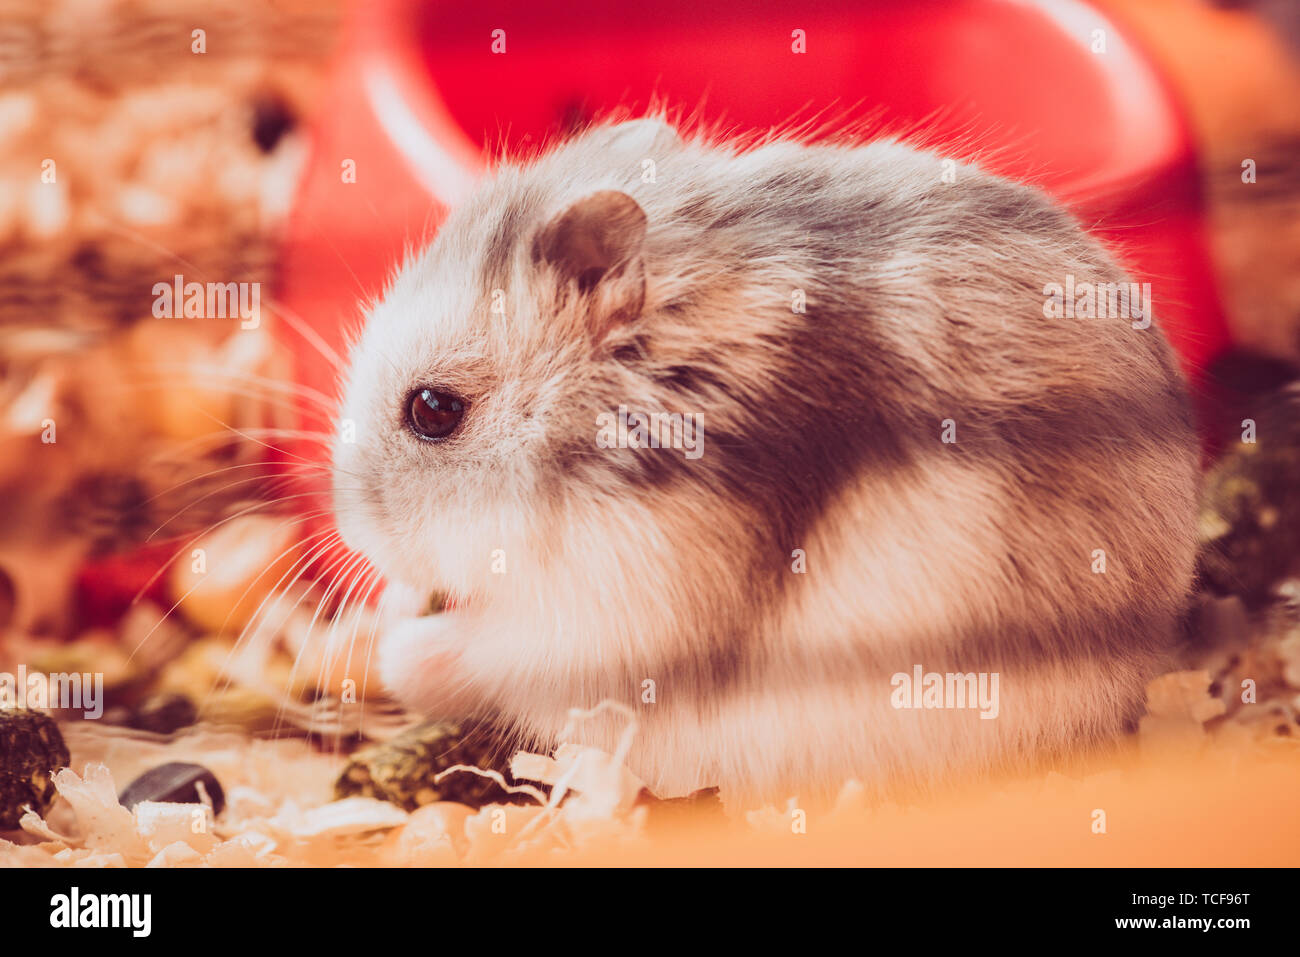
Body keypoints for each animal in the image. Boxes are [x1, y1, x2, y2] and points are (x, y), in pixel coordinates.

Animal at [332, 118, 1200, 803]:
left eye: (433, 411)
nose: (349, 530)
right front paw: (387, 612)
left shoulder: (612, 610)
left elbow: (478, 649)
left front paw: (393, 649)